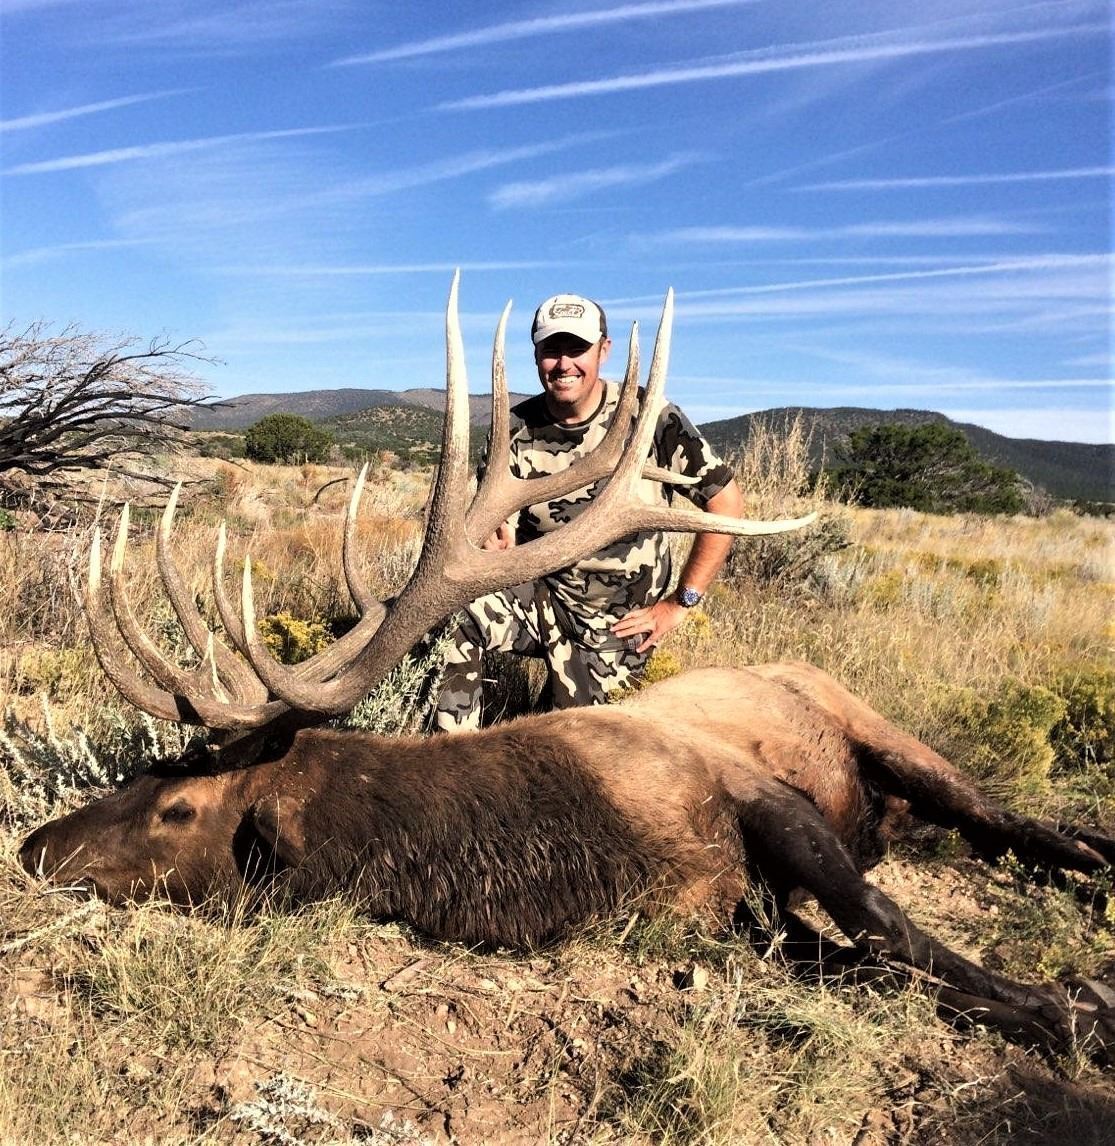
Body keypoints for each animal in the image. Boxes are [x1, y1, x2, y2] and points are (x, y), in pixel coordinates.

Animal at [18, 275, 1115, 1061]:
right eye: (138, 770)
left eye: (176, 808)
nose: (33, 848)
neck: (570, 851)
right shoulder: (734, 921)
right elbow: (872, 966)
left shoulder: (756, 793)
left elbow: (889, 929)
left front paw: (1072, 1010)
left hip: (877, 727)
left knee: (1016, 821)